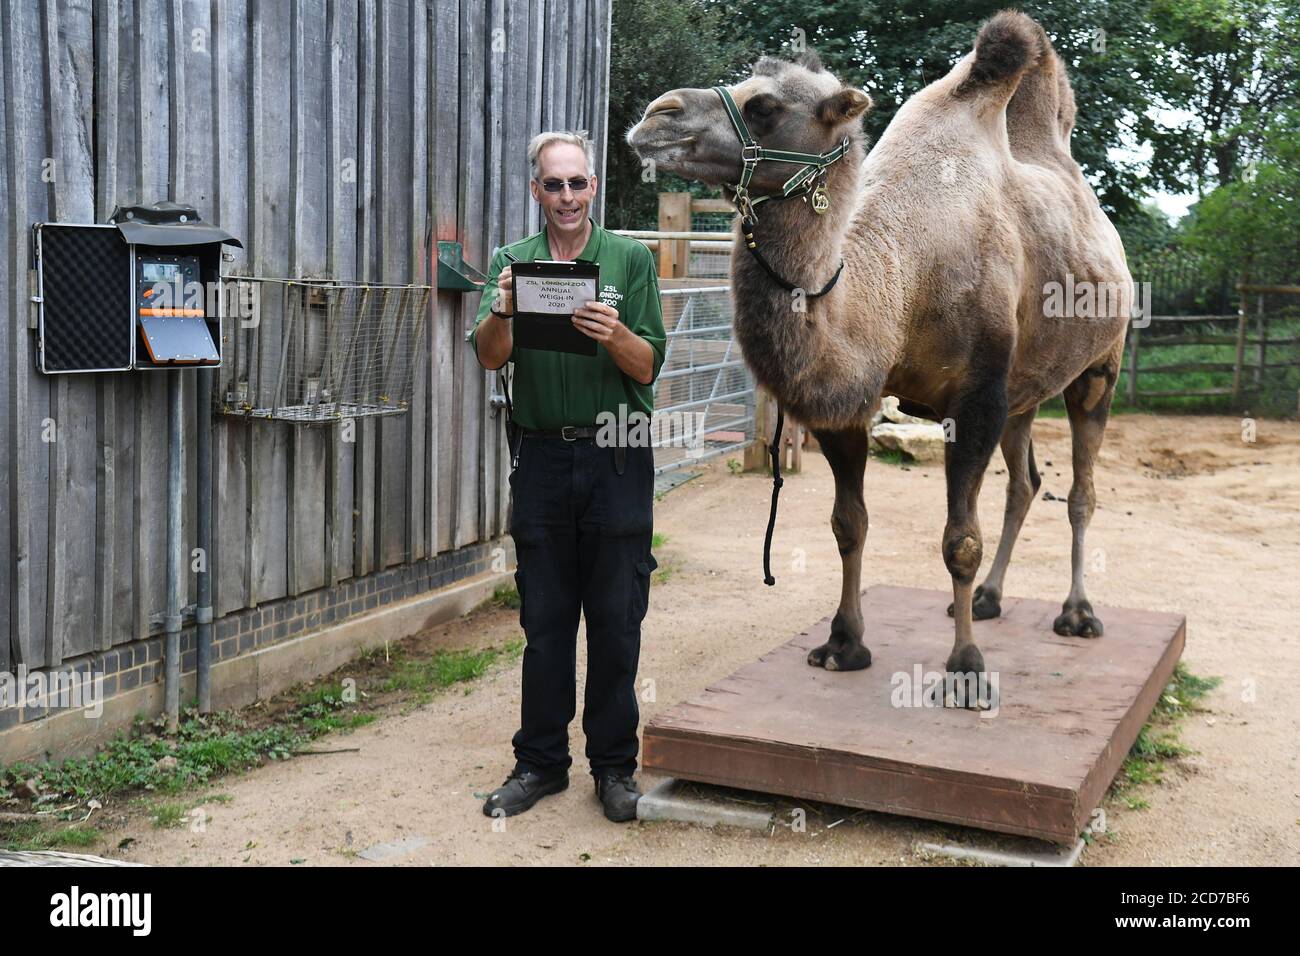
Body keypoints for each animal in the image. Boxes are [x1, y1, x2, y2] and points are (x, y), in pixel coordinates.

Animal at [628, 11, 1132, 686]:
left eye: (763, 107)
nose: (656, 115)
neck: (902, 276)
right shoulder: (852, 400)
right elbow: (849, 524)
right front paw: (843, 644)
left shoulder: (976, 397)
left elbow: (959, 539)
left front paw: (966, 667)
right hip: (1024, 391)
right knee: (1024, 484)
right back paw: (988, 600)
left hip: (1101, 365)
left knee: (1080, 491)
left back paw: (1076, 613)